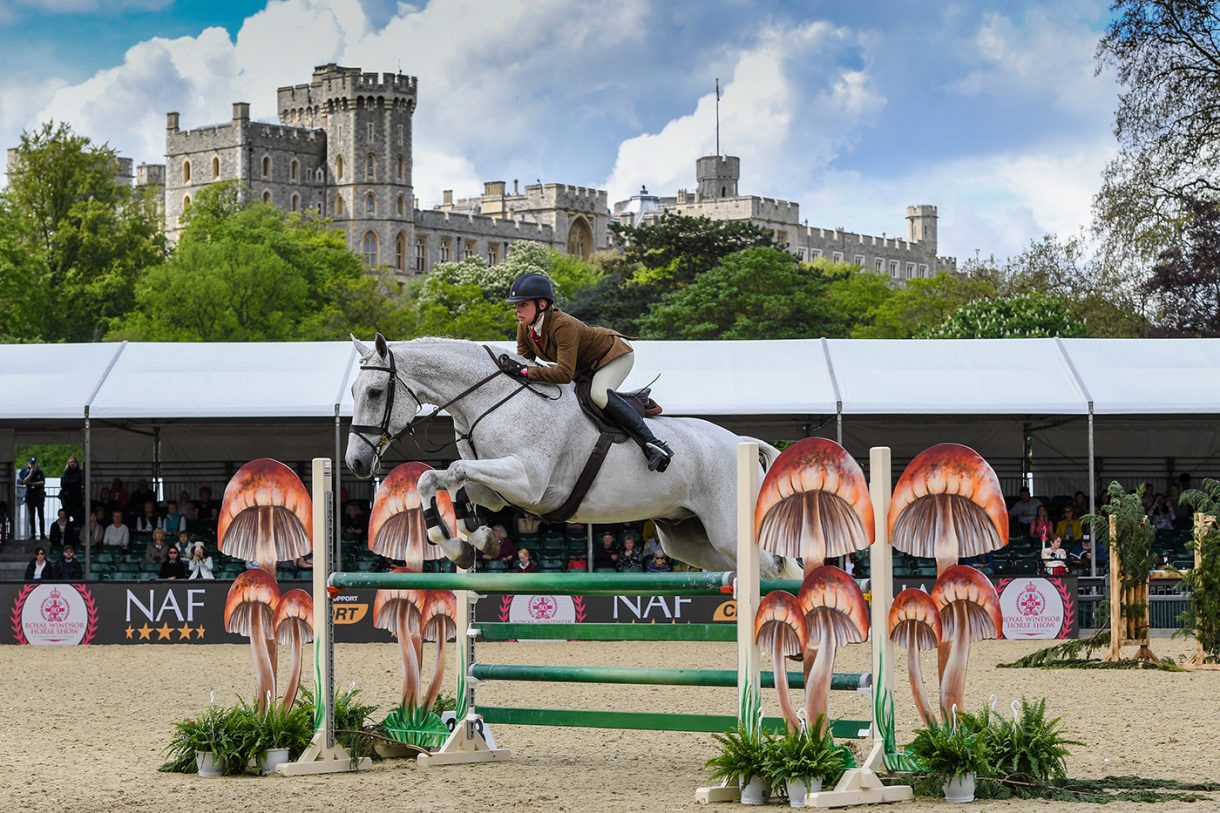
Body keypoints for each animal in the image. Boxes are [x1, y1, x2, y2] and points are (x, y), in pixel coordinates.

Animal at [344, 334, 799, 579]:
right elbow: (442, 479)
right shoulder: (497, 488)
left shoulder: (528, 481)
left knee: (772, 568)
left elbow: (454, 471)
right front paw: (466, 542)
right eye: (354, 391)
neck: (489, 400)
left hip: (727, 528)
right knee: (756, 568)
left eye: (375, 392)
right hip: (689, 540)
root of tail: (739, 441)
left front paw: (470, 537)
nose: (356, 463)